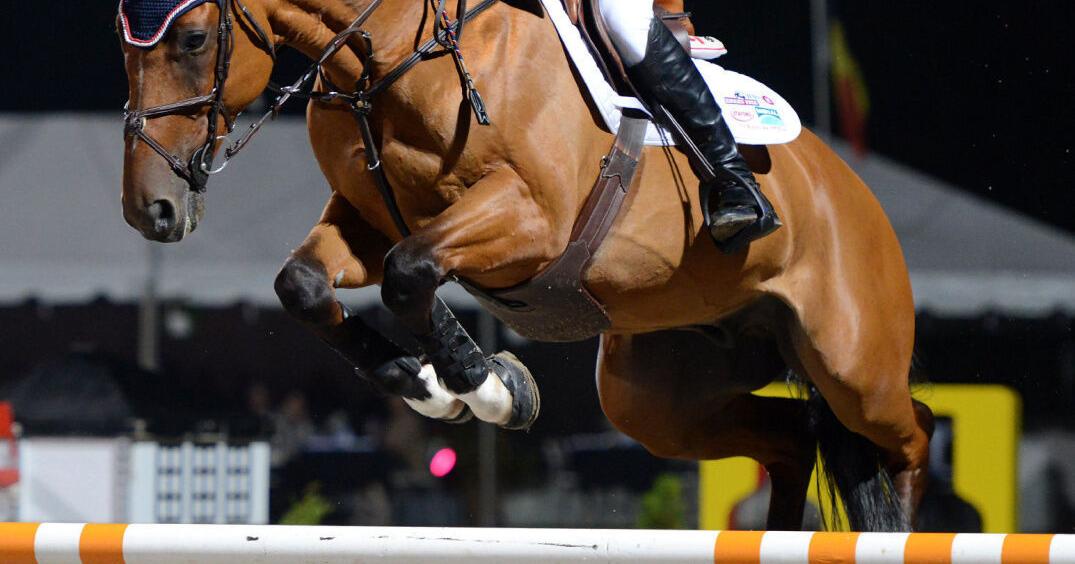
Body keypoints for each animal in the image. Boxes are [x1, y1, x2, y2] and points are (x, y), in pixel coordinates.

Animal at [117, 0, 933, 531]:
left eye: (193, 37)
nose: (148, 210)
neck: (390, 57)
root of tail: (855, 191)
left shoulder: (532, 218)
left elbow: (410, 272)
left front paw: (486, 387)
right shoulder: (365, 220)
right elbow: (308, 284)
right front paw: (428, 384)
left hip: (852, 365)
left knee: (909, 432)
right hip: (660, 396)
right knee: (792, 439)